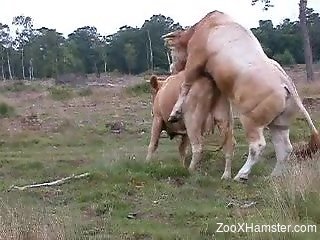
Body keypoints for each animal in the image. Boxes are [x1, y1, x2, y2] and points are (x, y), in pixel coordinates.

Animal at [162, 9, 320, 182]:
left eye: (172, 51)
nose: (171, 68)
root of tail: (284, 82)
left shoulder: (195, 61)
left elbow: (185, 86)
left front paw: (175, 112)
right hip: (279, 123)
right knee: (284, 148)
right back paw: (273, 176)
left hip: (250, 120)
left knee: (258, 146)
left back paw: (241, 175)